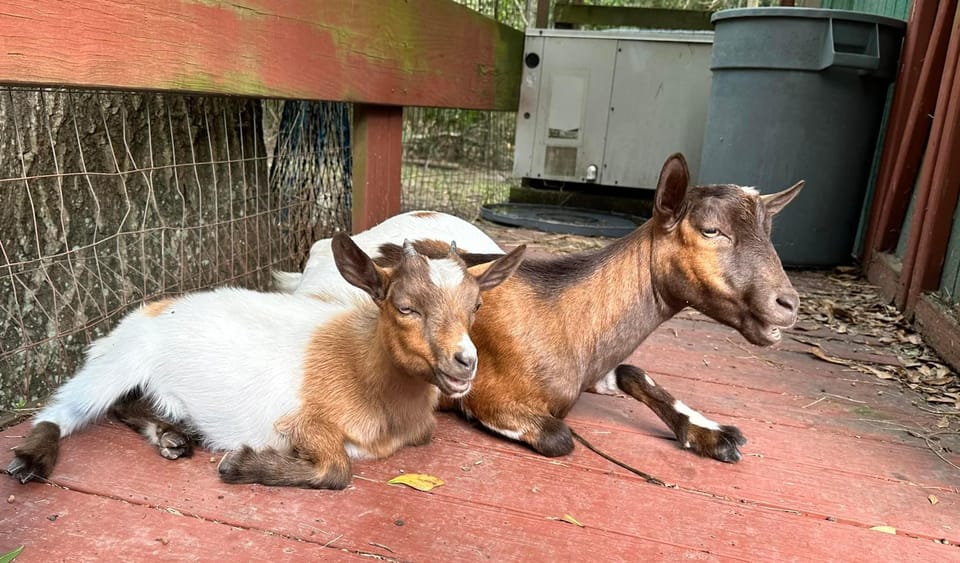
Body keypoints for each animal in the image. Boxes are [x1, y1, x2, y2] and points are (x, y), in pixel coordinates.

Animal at [6, 234, 526, 488]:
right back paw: (33, 458)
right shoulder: (299, 420)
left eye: (477, 306)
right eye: (405, 307)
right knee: (66, 407)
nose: (464, 362)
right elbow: (338, 469)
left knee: (124, 405)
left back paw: (173, 435)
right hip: (122, 357)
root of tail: (148, 309)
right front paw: (239, 464)